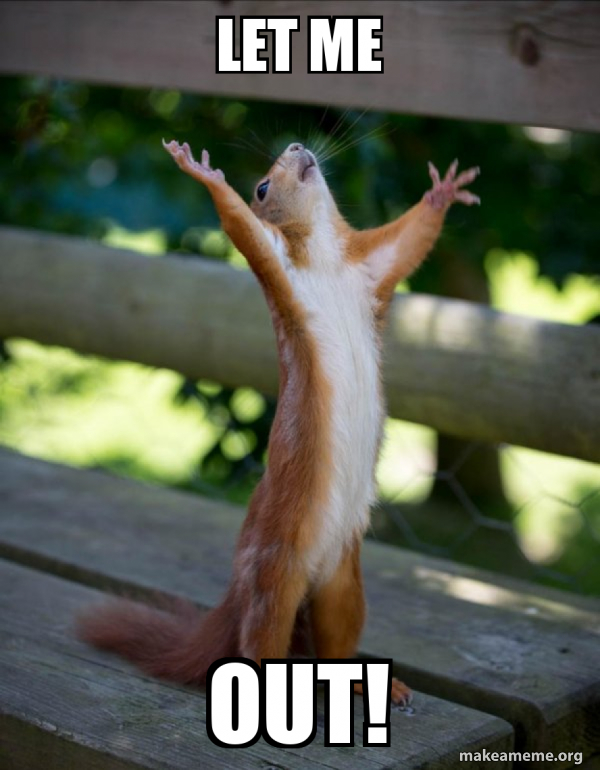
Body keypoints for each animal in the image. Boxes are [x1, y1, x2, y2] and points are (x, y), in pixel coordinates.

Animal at [77, 138, 480, 706]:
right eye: (262, 187)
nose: (296, 146)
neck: (327, 260)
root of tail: (239, 590)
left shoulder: (372, 267)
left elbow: (410, 239)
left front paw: (442, 191)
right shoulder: (277, 265)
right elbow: (240, 226)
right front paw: (203, 173)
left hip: (344, 586)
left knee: (336, 642)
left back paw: (373, 684)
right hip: (274, 577)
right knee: (260, 643)